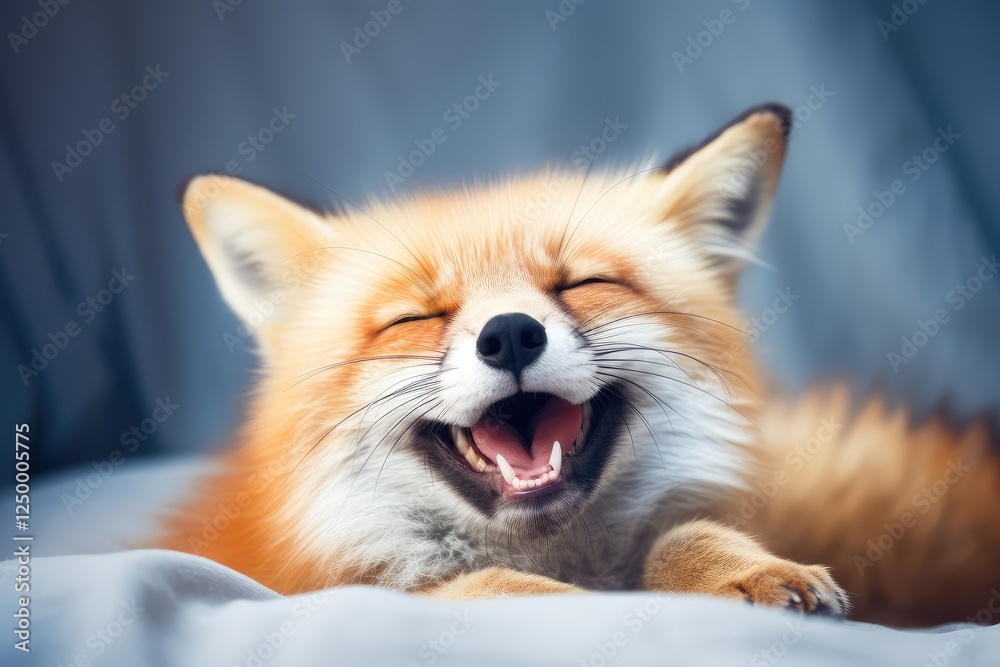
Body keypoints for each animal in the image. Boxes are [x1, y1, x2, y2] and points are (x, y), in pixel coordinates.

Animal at [162, 103, 1000, 627]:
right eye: (415, 318)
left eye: (582, 283)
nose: (508, 335)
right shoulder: (301, 586)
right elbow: (471, 592)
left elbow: (684, 533)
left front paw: (741, 567)